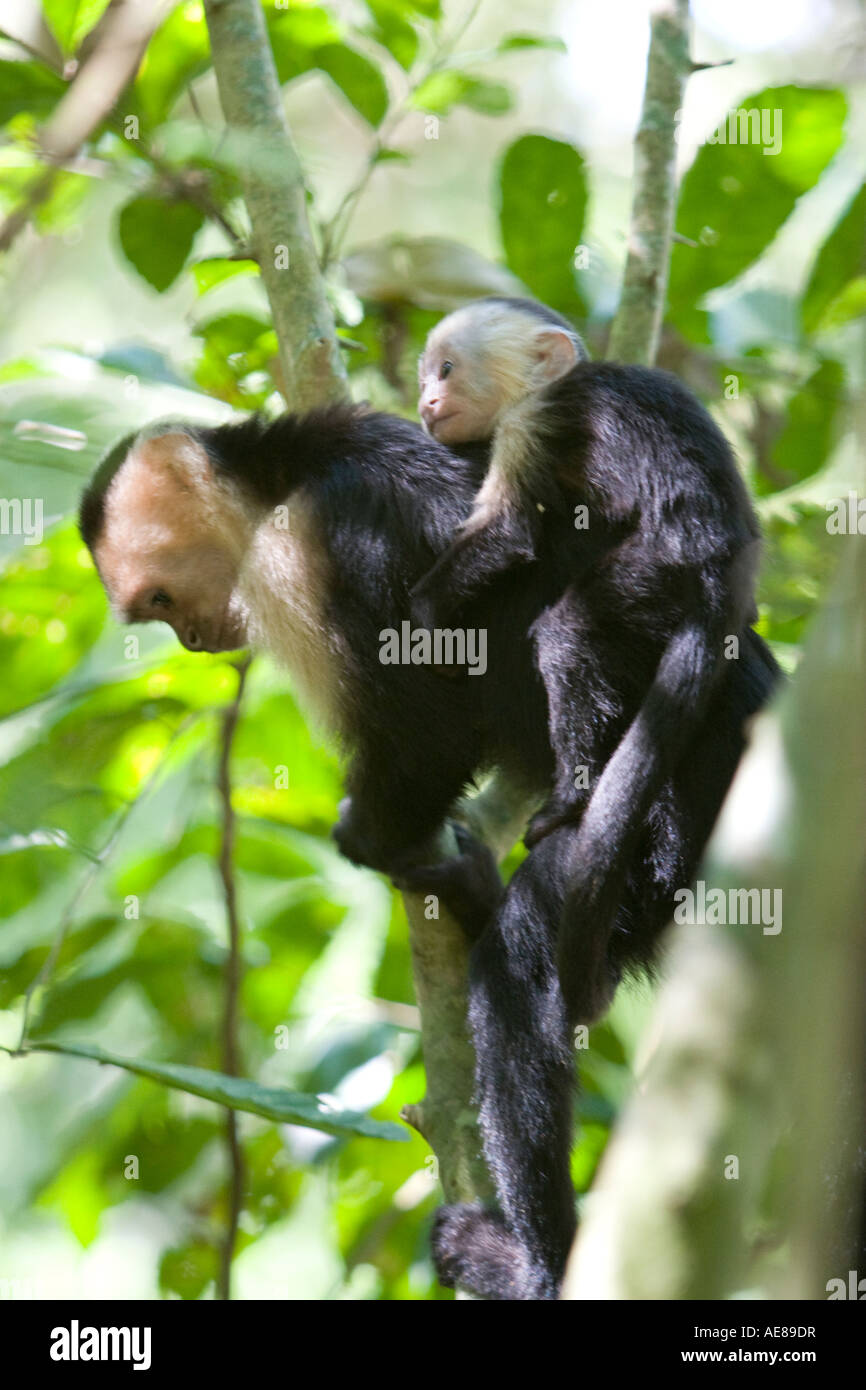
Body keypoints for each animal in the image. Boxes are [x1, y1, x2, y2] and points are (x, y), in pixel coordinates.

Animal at [79, 403, 780, 1299]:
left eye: (162, 599)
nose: (195, 641)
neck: (286, 477)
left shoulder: (311, 552)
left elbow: (426, 723)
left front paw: (369, 837)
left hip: (666, 827)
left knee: (523, 969)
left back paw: (538, 1264)